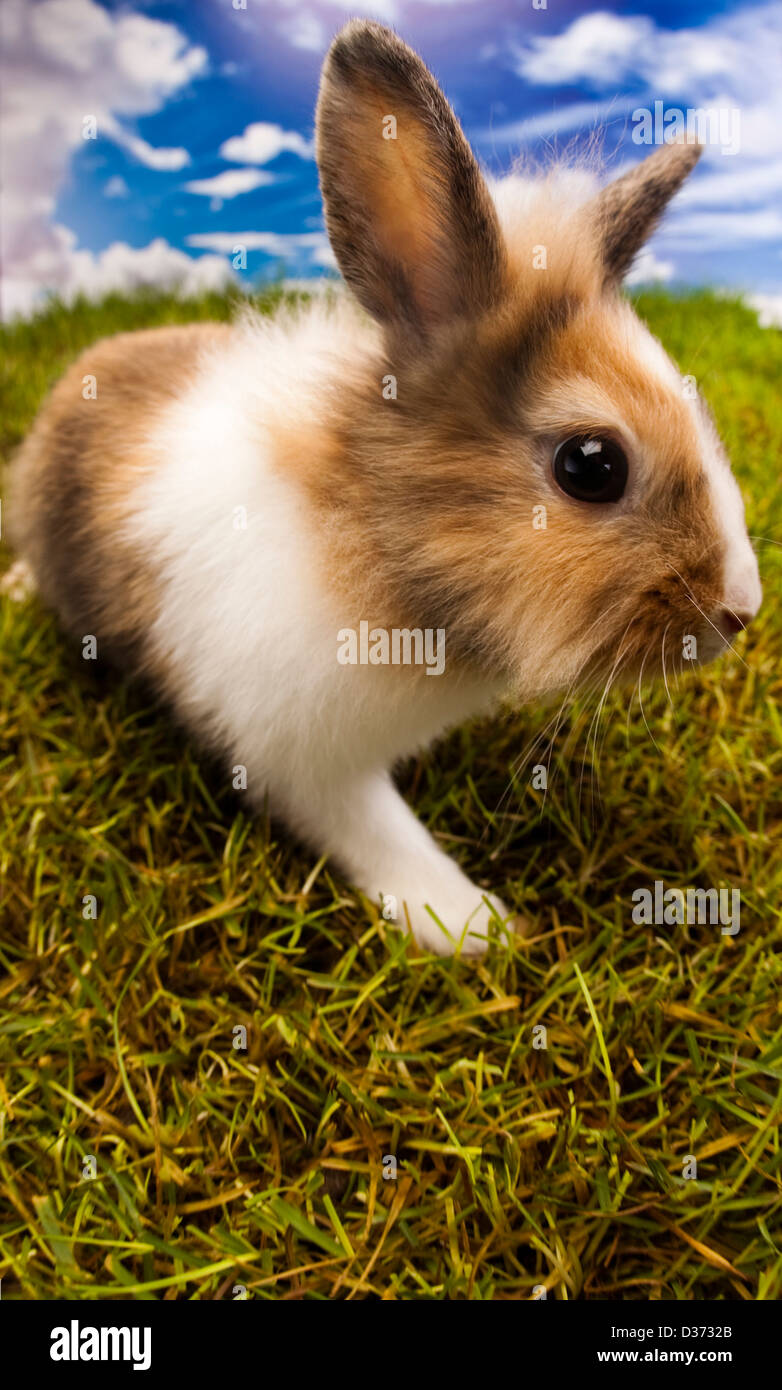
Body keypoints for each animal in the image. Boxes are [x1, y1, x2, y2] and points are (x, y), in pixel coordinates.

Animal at [6, 20, 761, 956]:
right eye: (592, 465)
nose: (741, 608)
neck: (370, 533)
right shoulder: (298, 752)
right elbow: (378, 830)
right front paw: (476, 928)